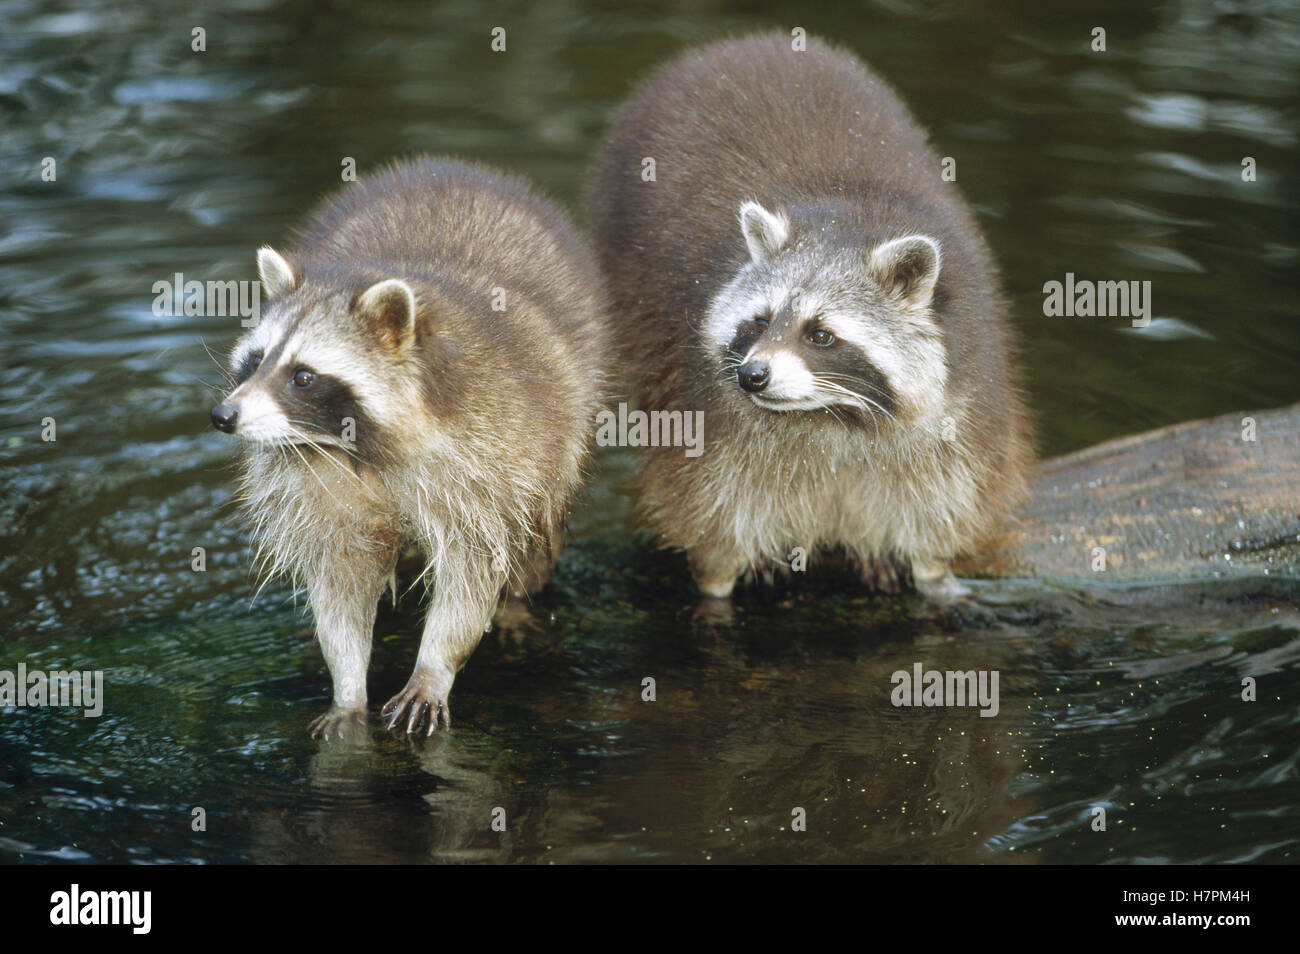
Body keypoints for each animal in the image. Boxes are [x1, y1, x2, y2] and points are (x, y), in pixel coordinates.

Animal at [211, 157, 608, 737]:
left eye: (303, 377)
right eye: (255, 360)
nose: (223, 416)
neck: (360, 443)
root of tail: (449, 168)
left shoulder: (489, 457)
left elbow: (472, 570)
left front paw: (435, 665)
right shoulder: (314, 483)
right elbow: (339, 577)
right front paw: (347, 681)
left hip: (560, 425)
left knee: (537, 518)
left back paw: (517, 596)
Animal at [586, 33, 1031, 598]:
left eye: (820, 335)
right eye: (760, 322)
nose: (753, 376)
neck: (830, 416)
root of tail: (748, 43)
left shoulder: (968, 407)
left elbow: (938, 514)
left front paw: (935, 577)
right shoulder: (704, 421)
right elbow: (712, 526)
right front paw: (716, 592)